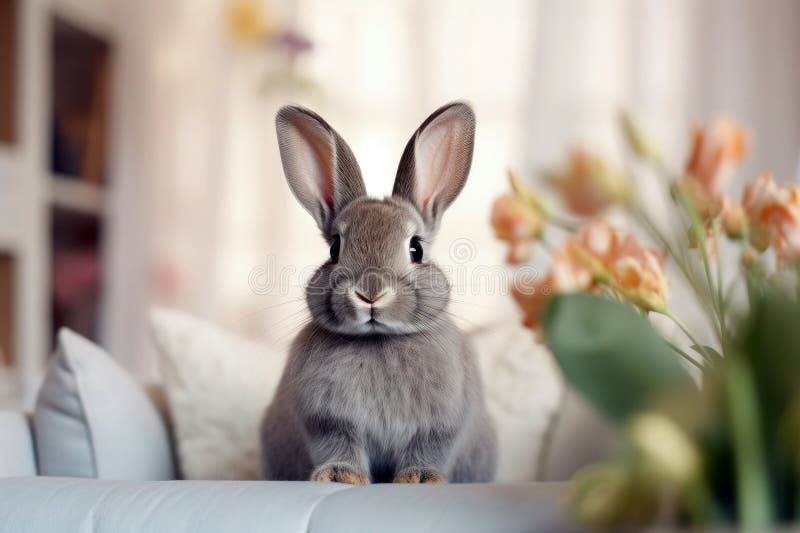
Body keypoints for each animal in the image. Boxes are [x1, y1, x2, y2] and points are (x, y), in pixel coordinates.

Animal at [260, 102, 497, 484]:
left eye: (416, 248)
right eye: (334, 249)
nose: (371, 293)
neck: (378, 341)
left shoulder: (439, 427)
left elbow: (427, 451)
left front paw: (419, 479)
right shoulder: (329, 424)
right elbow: (340, 448)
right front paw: (340, 477)